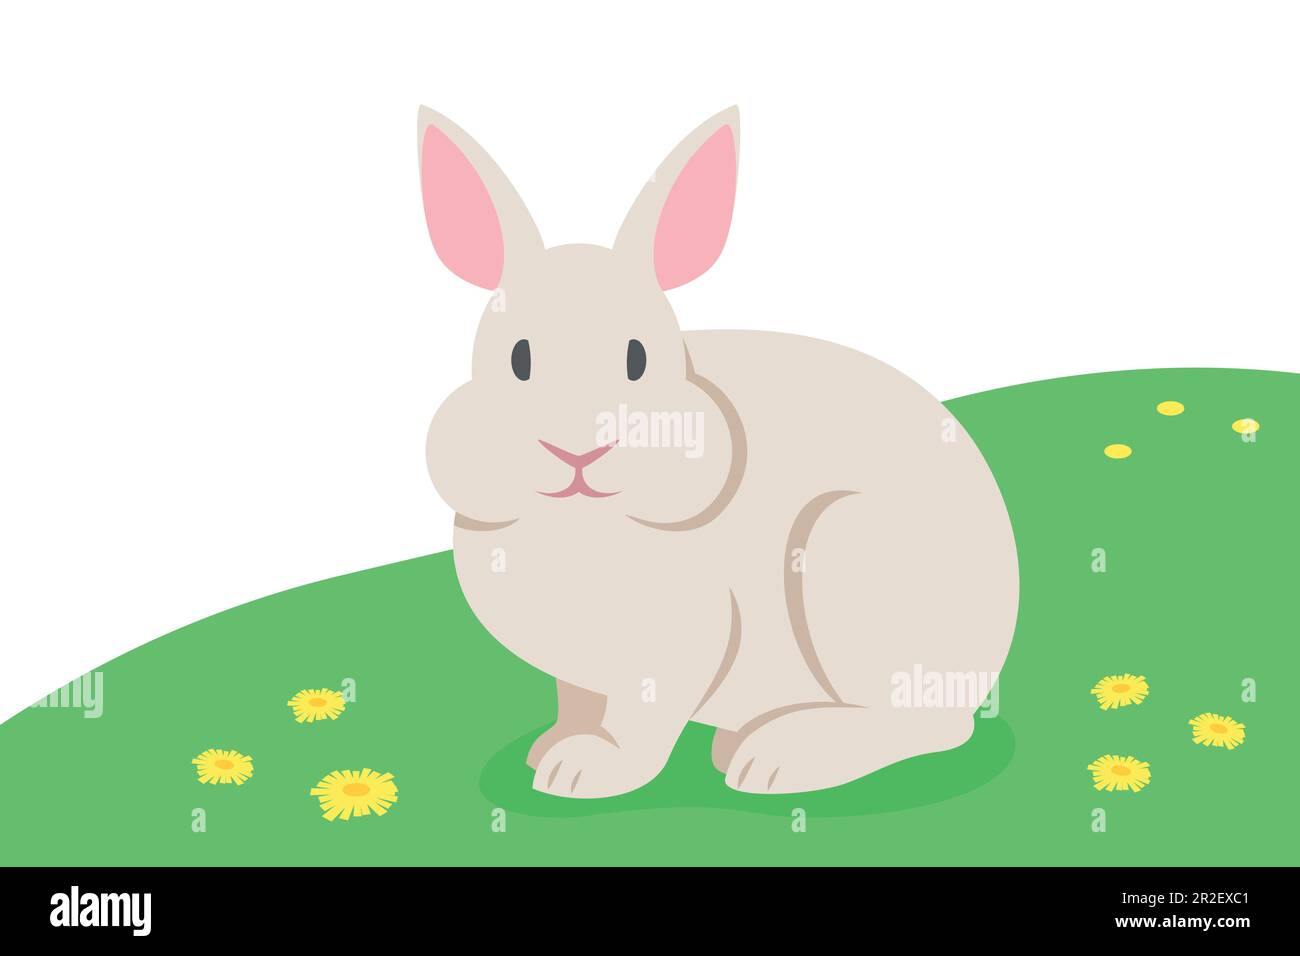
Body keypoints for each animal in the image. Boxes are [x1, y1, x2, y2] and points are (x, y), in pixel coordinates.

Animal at [420, 105, 1019, 797]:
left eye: (637, 358)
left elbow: (641, 718)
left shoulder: (679, 644)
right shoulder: (581, 672)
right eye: (518, 359)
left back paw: (777, 758)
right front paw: (552, 747)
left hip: (849, 555)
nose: (578, 453)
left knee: (923, 726)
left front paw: (587, 770)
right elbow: (578, 701)